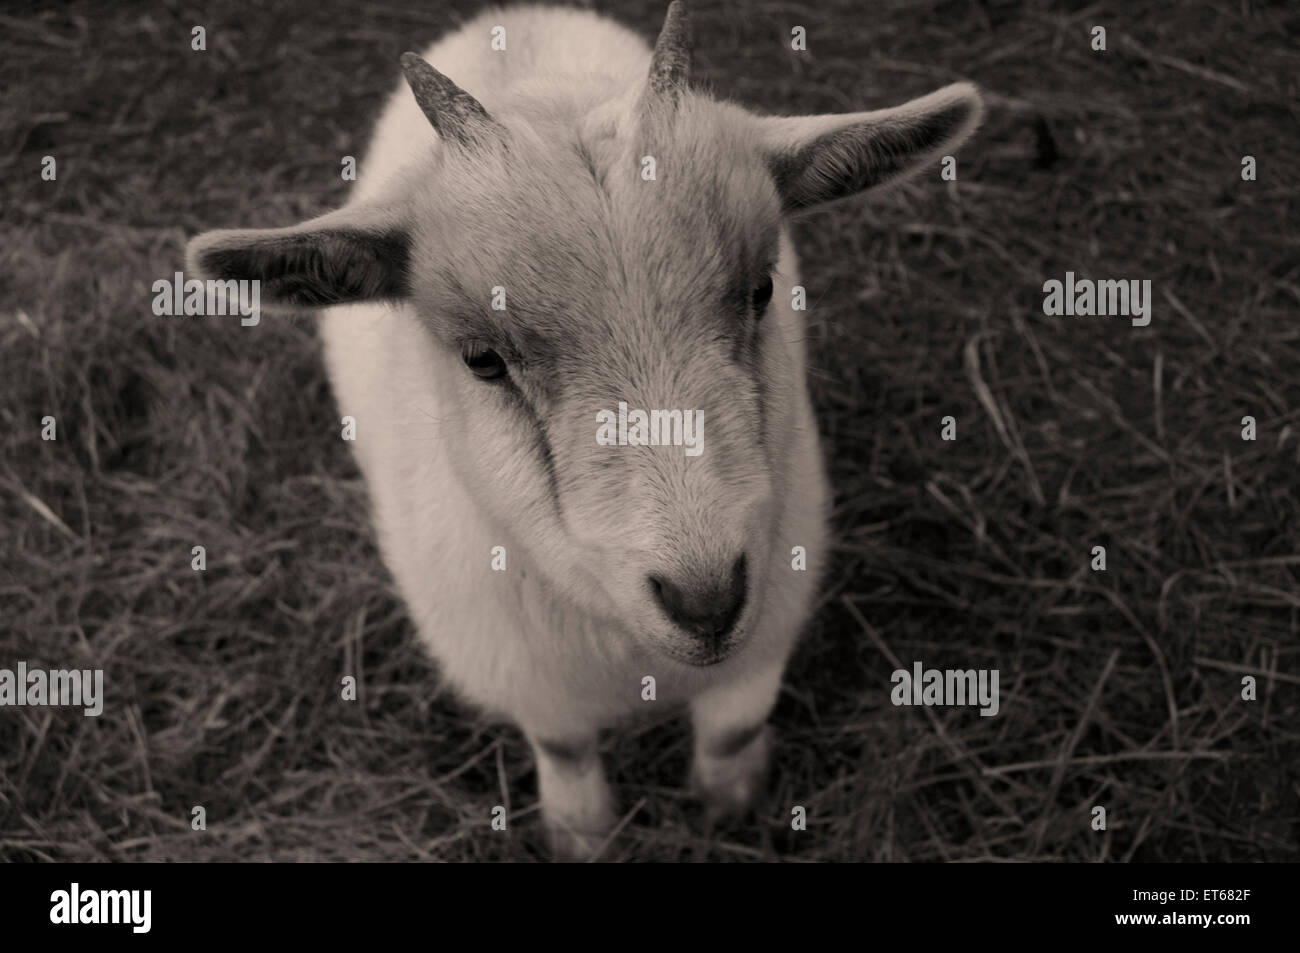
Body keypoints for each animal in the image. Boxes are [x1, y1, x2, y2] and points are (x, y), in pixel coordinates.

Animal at [187, 2, 982, 859]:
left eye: (762, 289)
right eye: (482, 358)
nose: (706, 601)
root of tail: (515, 16)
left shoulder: (765, 631)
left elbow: (732, 733)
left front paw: (730, 808)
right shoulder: (528, 677)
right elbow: (565, 750)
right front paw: (582, 833)